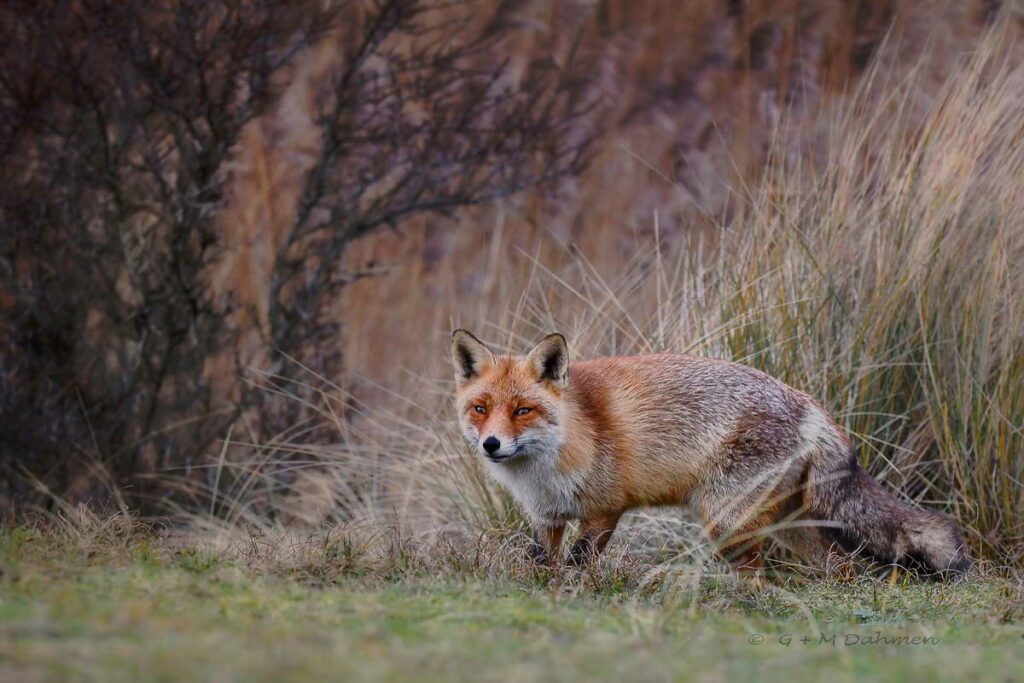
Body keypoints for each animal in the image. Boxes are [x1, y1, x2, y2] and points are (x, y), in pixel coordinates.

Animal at [451, 329, 971, 583]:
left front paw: (576, 595)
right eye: (480, 409)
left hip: (728, 522)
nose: (491, 445)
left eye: (523, 410)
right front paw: (546, 594)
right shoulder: (546, 517)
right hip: (787, 525)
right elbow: (542, 564)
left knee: (759, 576)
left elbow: (580, 563)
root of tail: (812, 406)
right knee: (844, 567)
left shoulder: (605, 510)